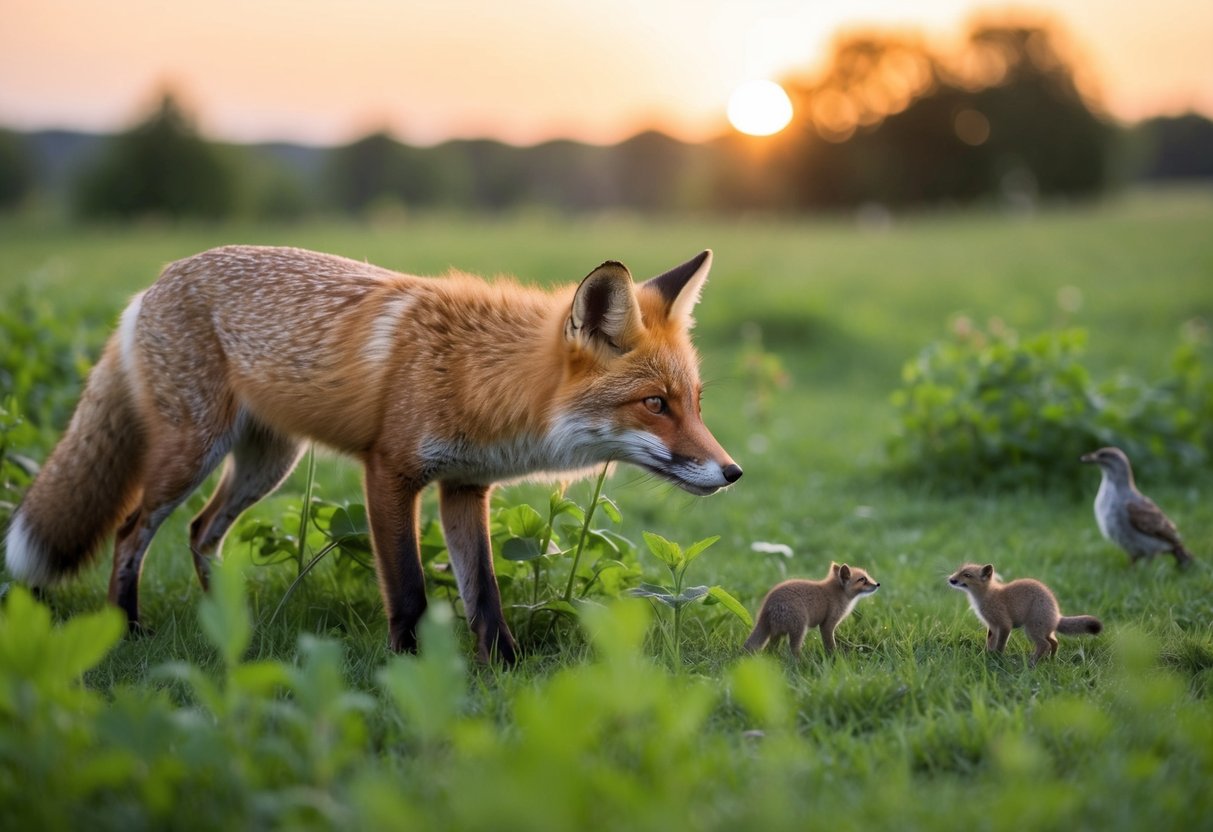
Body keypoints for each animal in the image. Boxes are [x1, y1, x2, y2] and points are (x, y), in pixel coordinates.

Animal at [3, 245, 741, 664]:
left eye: (696, 403)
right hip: (191, 455)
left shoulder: (464, 489)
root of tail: (155, 281)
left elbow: (484, 595)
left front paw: (504, 673)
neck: (479, 379)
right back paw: (126, 626)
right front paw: (406, 671)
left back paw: (225, 622)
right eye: (655, 404)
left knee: (201, 532)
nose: (732, 472)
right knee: (132, 530)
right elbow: (410, 591)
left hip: (268, 465)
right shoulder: (389, 474)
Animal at [742, 562, 880, 657]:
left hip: (777, 634)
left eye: (867, 577)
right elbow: (830, 645)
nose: (877, 584)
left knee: (770, 651)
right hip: (799, 629)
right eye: (862, 579)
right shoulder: (827, 625)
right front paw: (835, 658)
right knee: (793, 651)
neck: (838, 593)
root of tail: (767, 606)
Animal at [947, 563, 1102, 665]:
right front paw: (987, 655)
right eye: (958, 571)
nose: (950, 579)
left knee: (1044, 645)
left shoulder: (1004, 624)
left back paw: (1032, 662)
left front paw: (997, 658)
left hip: (1031, 630)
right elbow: (990, 642)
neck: (986, 596)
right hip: (1044, 631)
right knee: (1054, 642)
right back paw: (1050, 660)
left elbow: (1000, 644)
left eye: (967, 575)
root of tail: (1057, 615)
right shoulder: (992, 626)